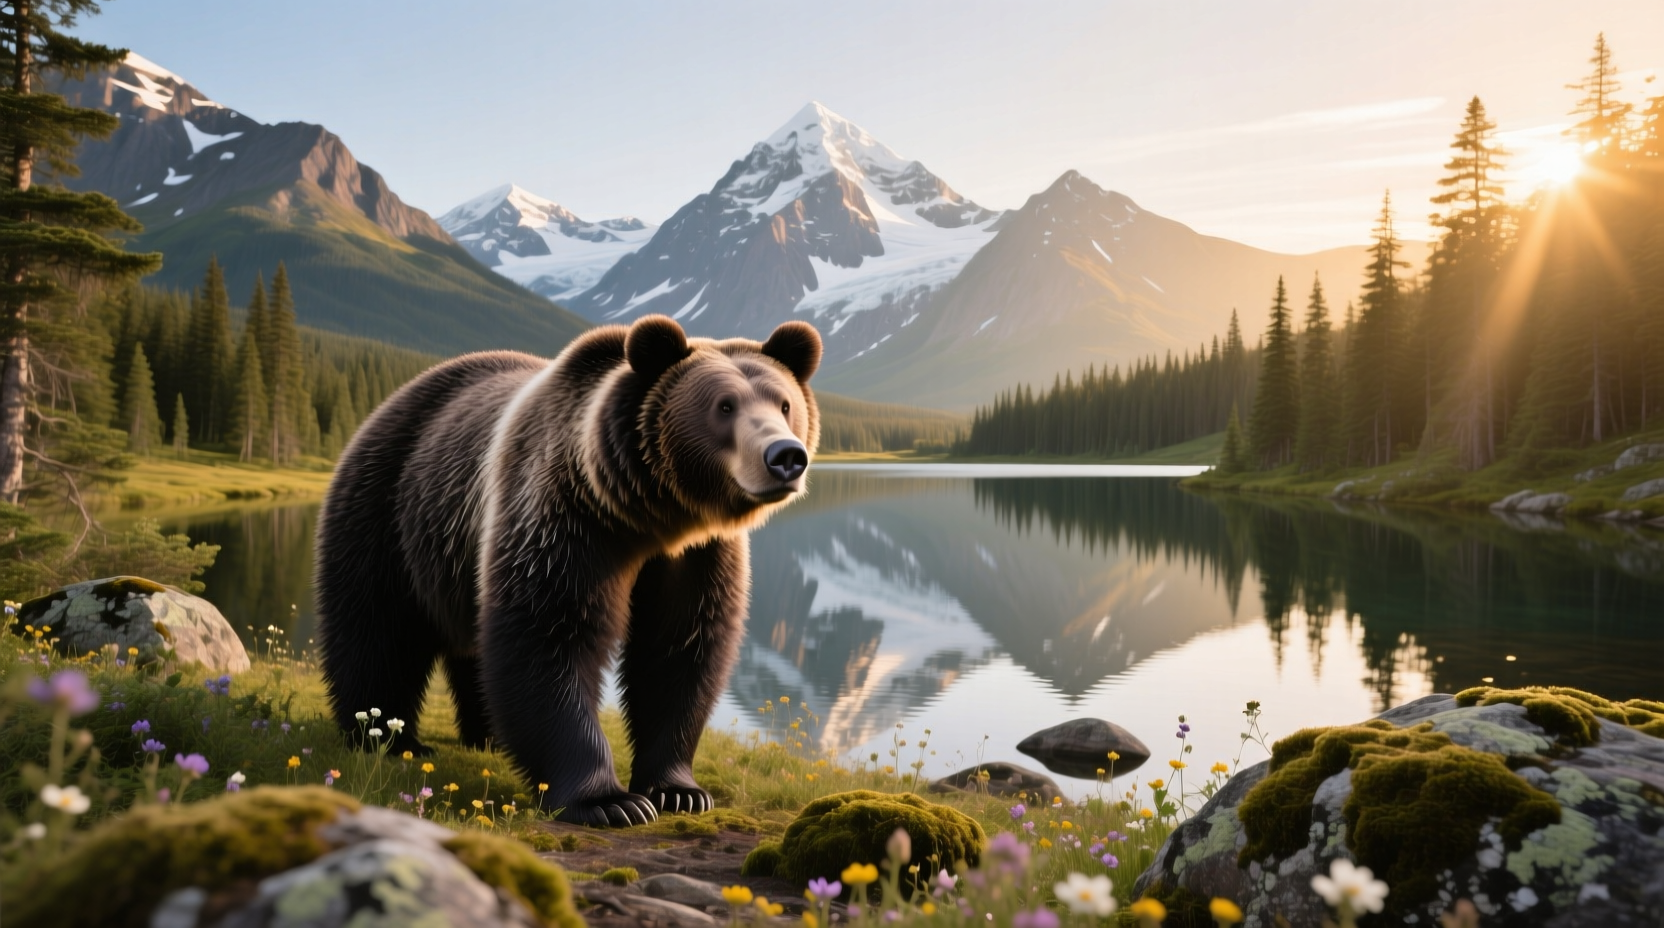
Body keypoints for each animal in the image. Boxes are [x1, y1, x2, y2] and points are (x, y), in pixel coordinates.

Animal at [313, 314, 820, 826]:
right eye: (724, 405)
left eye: (784, 403)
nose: (785, 456)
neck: (651, 515)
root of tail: (391, 401)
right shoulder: (568, 516)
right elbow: (550, 634)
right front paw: (609, 801)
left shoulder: (698, 554)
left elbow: (680, 649)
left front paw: (678, 791)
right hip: (391, 510)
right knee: (377, 629)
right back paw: (385, 736)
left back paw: (487, 735)